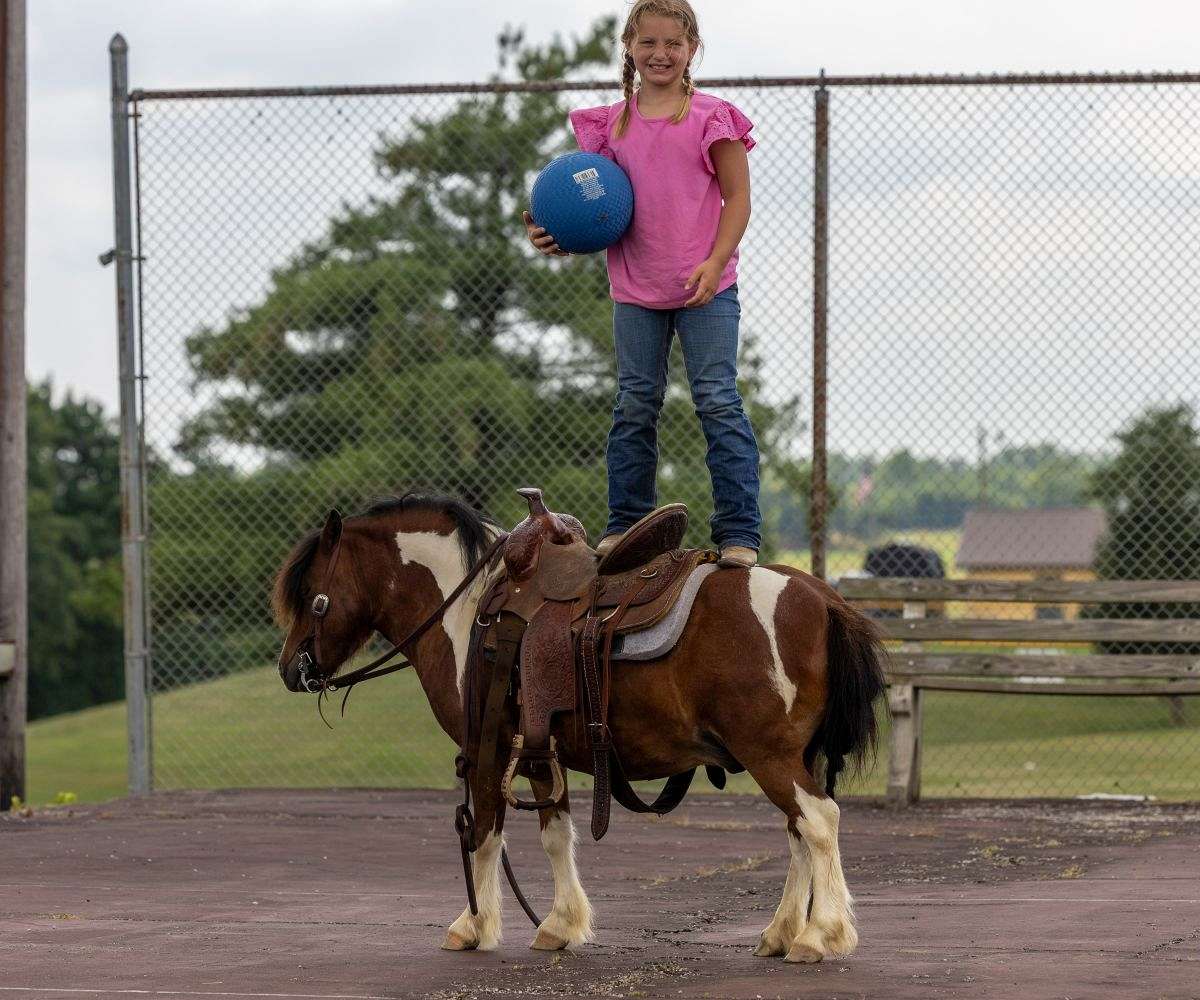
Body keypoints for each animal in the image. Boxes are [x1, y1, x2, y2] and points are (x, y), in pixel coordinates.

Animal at [272, 491, 887, 964]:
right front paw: (561, 924)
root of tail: (822, 598)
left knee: (818, 822)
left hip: (770, 754)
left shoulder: (488, 746)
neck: (470, 613)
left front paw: (474, 926)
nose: (291, 669)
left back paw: (821, 935)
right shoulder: (540, 749)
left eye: (315, 599)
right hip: (795, 757)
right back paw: (782, 932)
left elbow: (484, 832)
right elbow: (555, 834)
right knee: (799, 832)